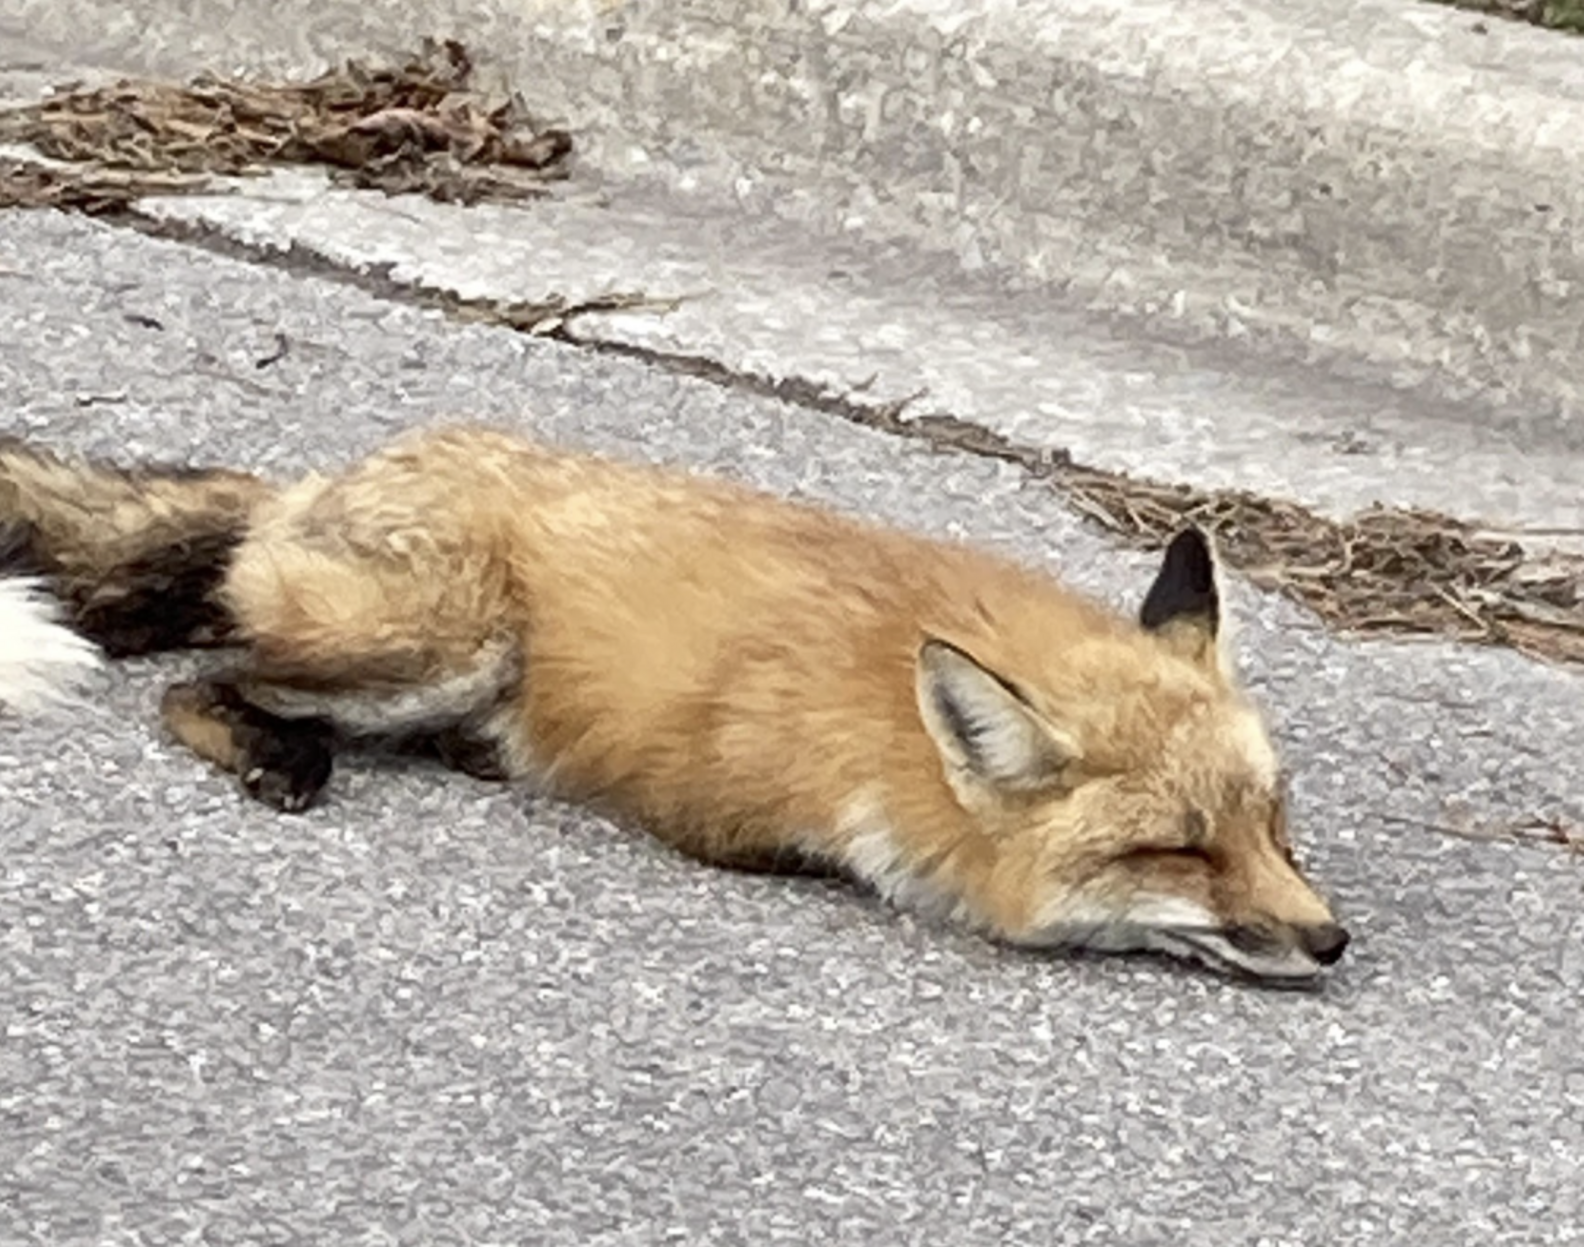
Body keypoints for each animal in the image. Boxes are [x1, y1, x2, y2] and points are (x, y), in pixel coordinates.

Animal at [0, 422, 1349, 984]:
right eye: (1177, 851)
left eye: (1276, 828)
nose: (1331, 938)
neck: (888, 733)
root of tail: (316, 479)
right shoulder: (725, 817)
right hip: (452, 642)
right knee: (203, 677)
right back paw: (277, 748)